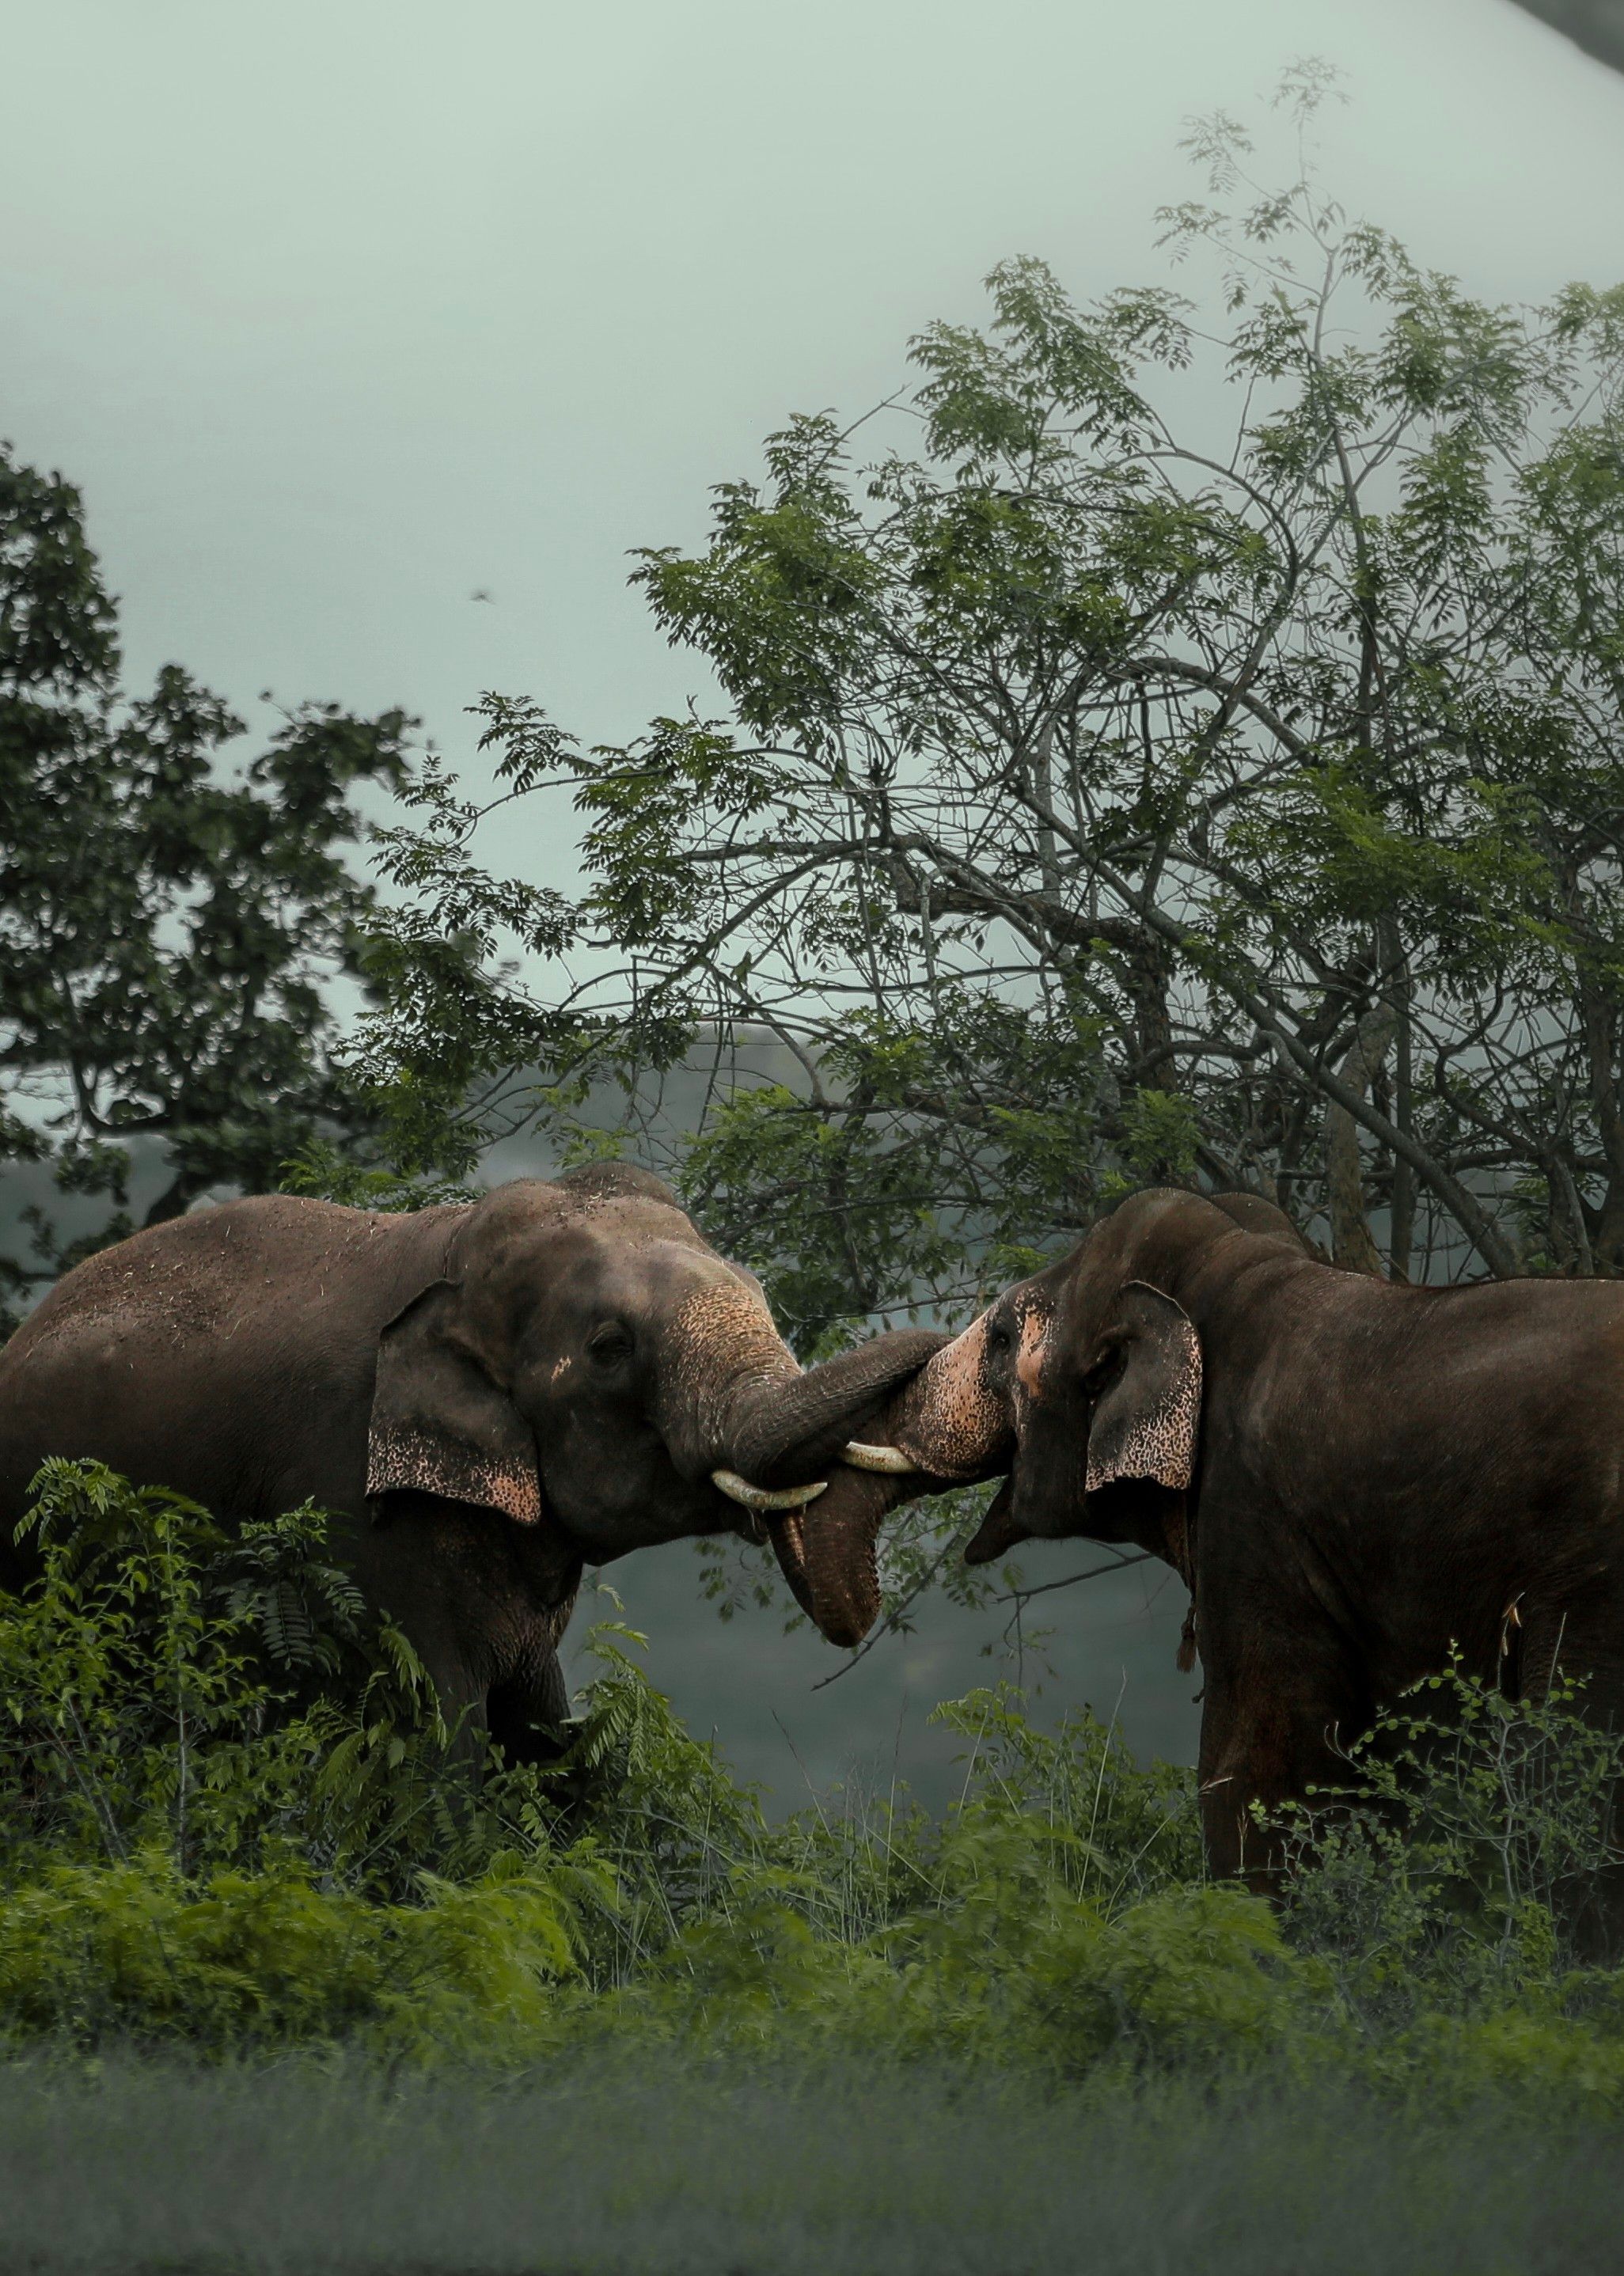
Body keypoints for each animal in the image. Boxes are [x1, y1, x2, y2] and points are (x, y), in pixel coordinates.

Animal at [0, 1163, 942, 1762]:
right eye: (610, 1348)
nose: (944, 1334)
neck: (446, 1251)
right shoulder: (356, 1501)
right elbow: (441, 1742)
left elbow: (543, 1733)